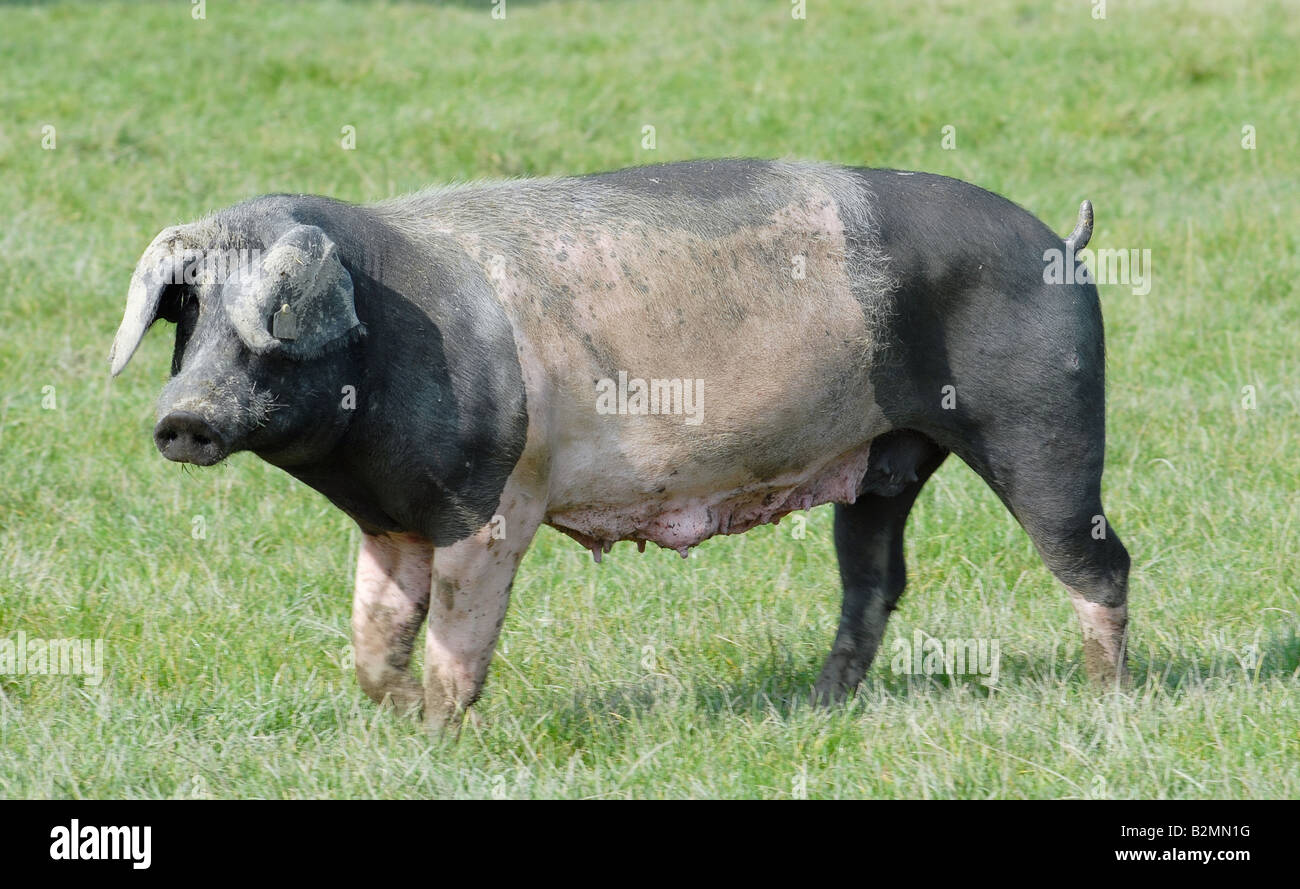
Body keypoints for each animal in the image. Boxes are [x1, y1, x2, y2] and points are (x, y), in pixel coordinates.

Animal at [110, 160, 1131, 728]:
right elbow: (375, 637)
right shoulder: (395, 519)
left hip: (1045, 422)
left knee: (1099, 559)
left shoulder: (496, 507)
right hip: (888, 458)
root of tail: (1064, 240)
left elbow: (454, 642)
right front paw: (393, 722)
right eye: (190, 315)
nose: (182, 414)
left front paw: (439, 733)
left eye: (271, 320)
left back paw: (1104, 698)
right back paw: (815, 706)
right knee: (875, 582)